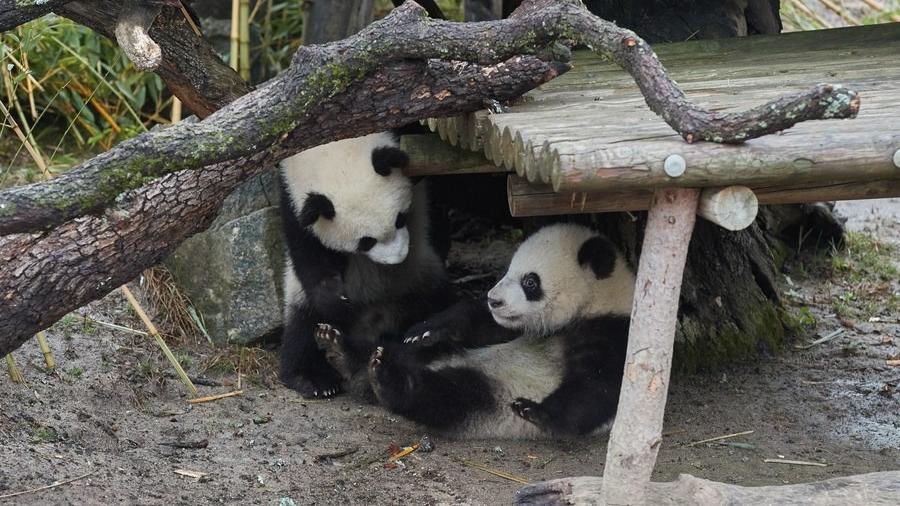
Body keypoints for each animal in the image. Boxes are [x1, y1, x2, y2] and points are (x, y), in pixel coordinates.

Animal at [279, 131, 454, 398]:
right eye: (366, 242)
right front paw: (335, 301)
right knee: (302, 326)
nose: (397, 259)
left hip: (421, 277)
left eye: (400, 219)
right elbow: (306, 248)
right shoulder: (290, 196)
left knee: (436, 299)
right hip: (300, 299)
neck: (333, 150)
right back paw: (314, 377)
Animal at [364, 223, 635, 439]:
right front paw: (425, 331)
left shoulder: (613, 330)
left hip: (496, 392)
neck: (594, 304)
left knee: (450, 396)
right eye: (508, 270)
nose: (493, 300)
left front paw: (535, 410)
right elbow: (482, 324)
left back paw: (391, 381)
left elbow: (597, 385)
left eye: (530, 282)